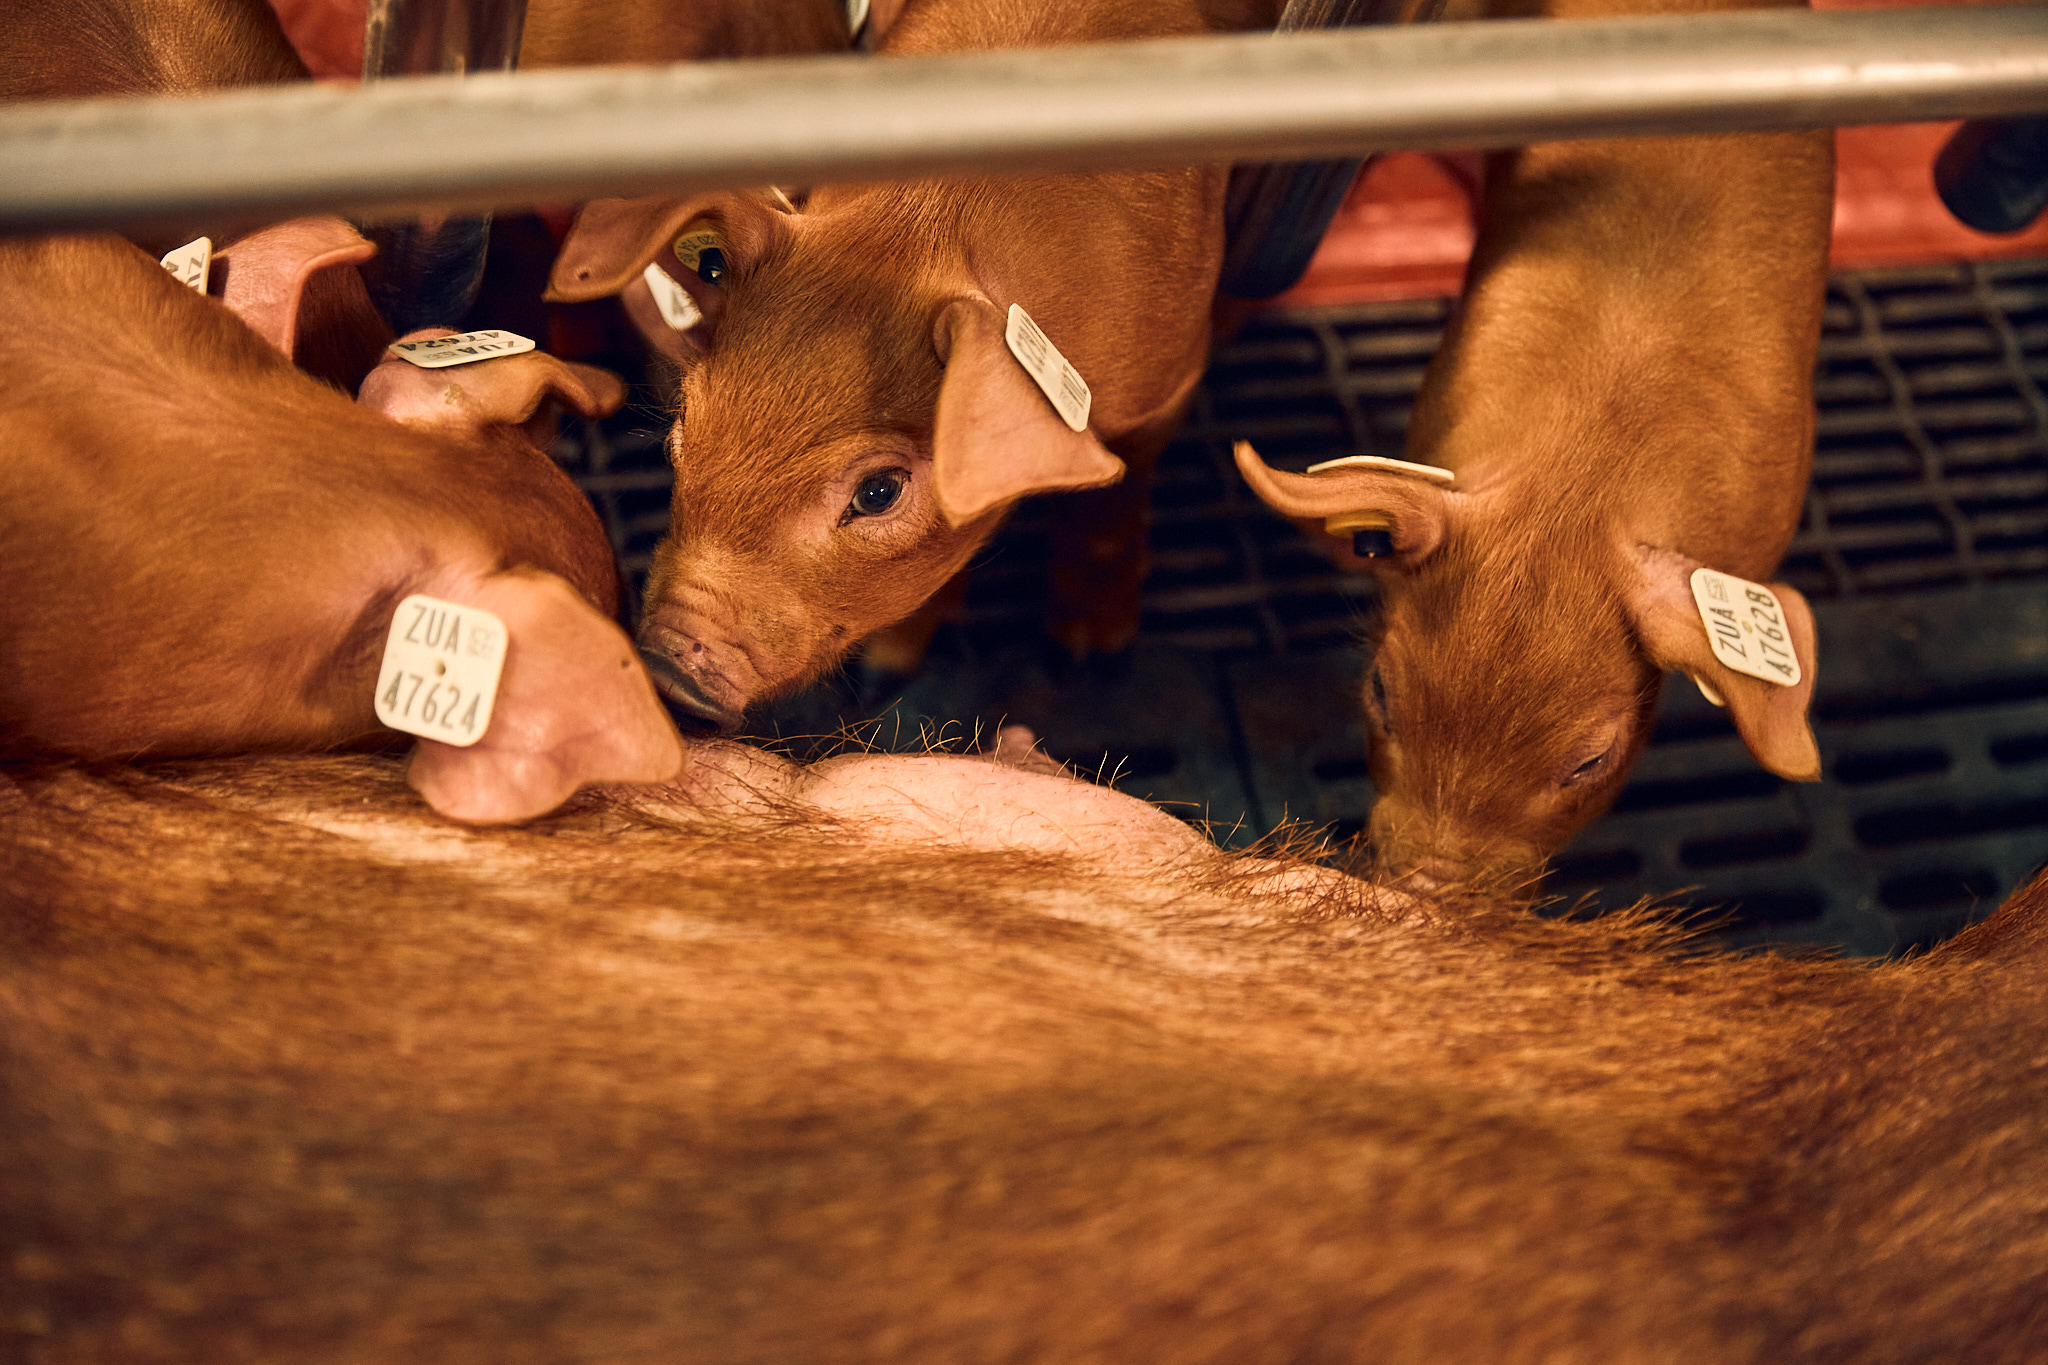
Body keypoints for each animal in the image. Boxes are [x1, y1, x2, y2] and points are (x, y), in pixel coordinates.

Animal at [544, 0, 1287, 729]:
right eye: (683, 428)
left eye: (879, 492)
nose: (665, 673)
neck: (927, 219)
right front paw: (881, 680)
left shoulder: (1171, 378)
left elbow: (1106, 506)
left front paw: (1088, 664)